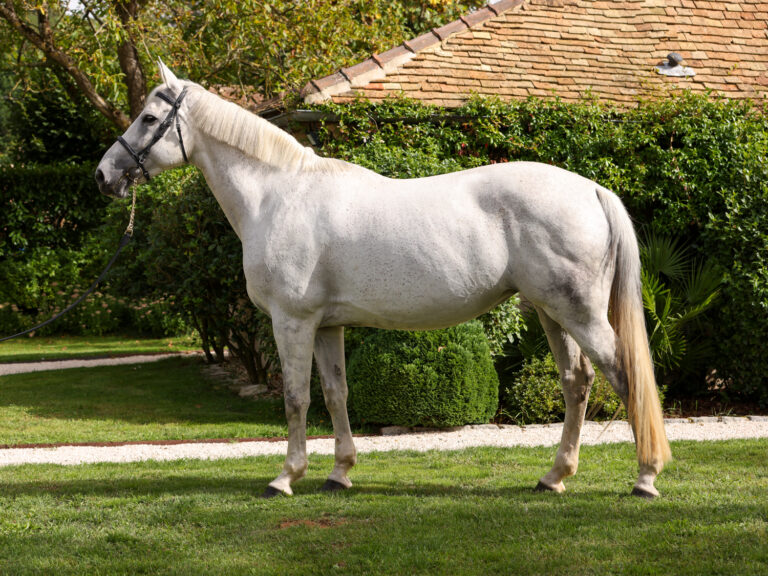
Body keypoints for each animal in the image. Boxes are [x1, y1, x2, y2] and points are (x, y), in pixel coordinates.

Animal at [96, 61, 671, 499]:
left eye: (149, 117)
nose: (105, 175)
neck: (279, 195)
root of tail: (591, 188)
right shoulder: (327, 325)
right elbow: (336, 394)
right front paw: (339, 474)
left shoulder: (292, 322)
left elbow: (296, 399)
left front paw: (285, 478)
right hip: (552, 312)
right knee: (577, 384)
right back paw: (553, 477)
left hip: (579, 312)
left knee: (624, 377)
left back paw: (645, 478)